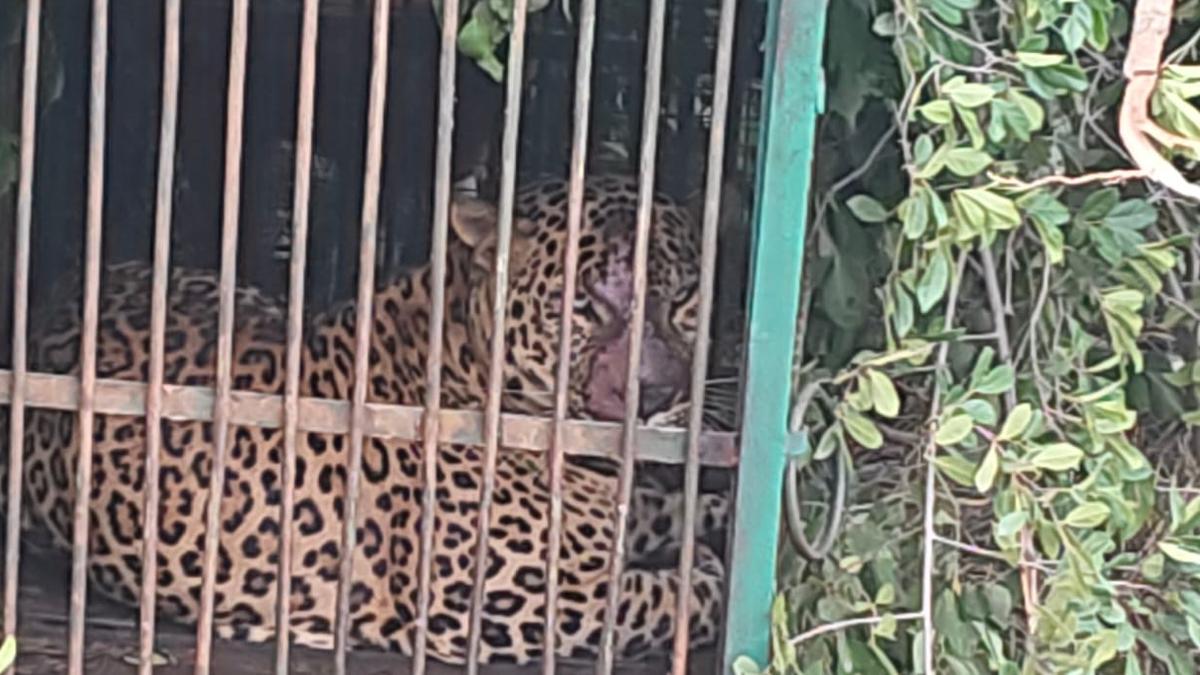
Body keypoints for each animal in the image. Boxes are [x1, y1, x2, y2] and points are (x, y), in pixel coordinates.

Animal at [7, 175, 734, 665]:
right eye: (583, 305)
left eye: (683, 296)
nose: (654, 395)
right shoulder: (510, 600)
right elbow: (664, 599)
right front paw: (703, 567)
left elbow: (683, 508)